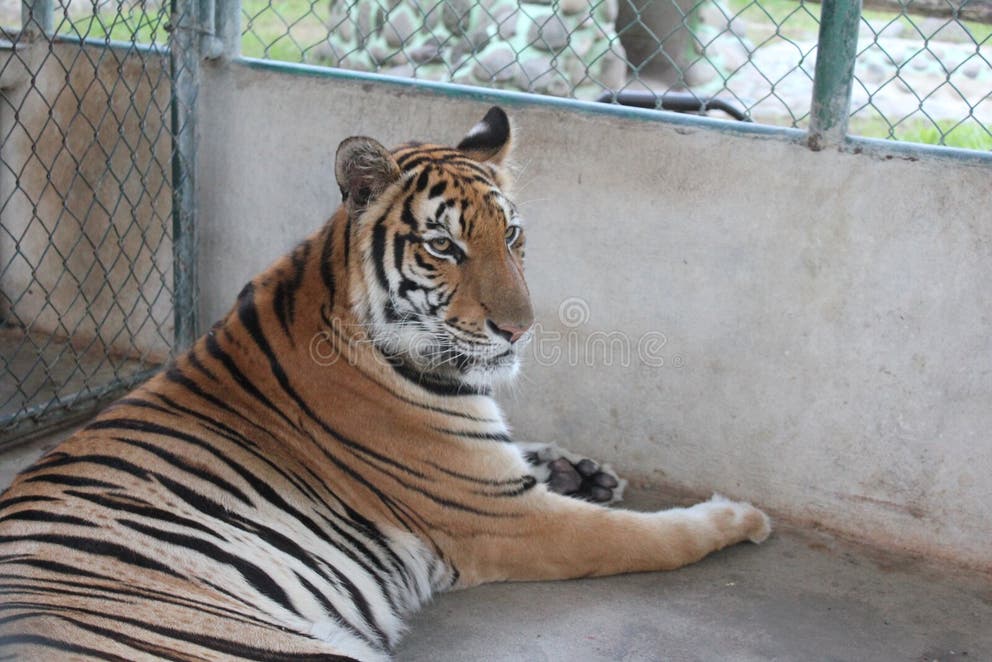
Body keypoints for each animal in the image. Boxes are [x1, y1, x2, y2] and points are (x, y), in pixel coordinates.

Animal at [0, 106, 771, 661]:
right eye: (444, 246)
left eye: (511, 235)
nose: (519, 330)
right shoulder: (507, 519)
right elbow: (659, 536)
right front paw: (739, 517)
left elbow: (535, 451)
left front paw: (587, 471)